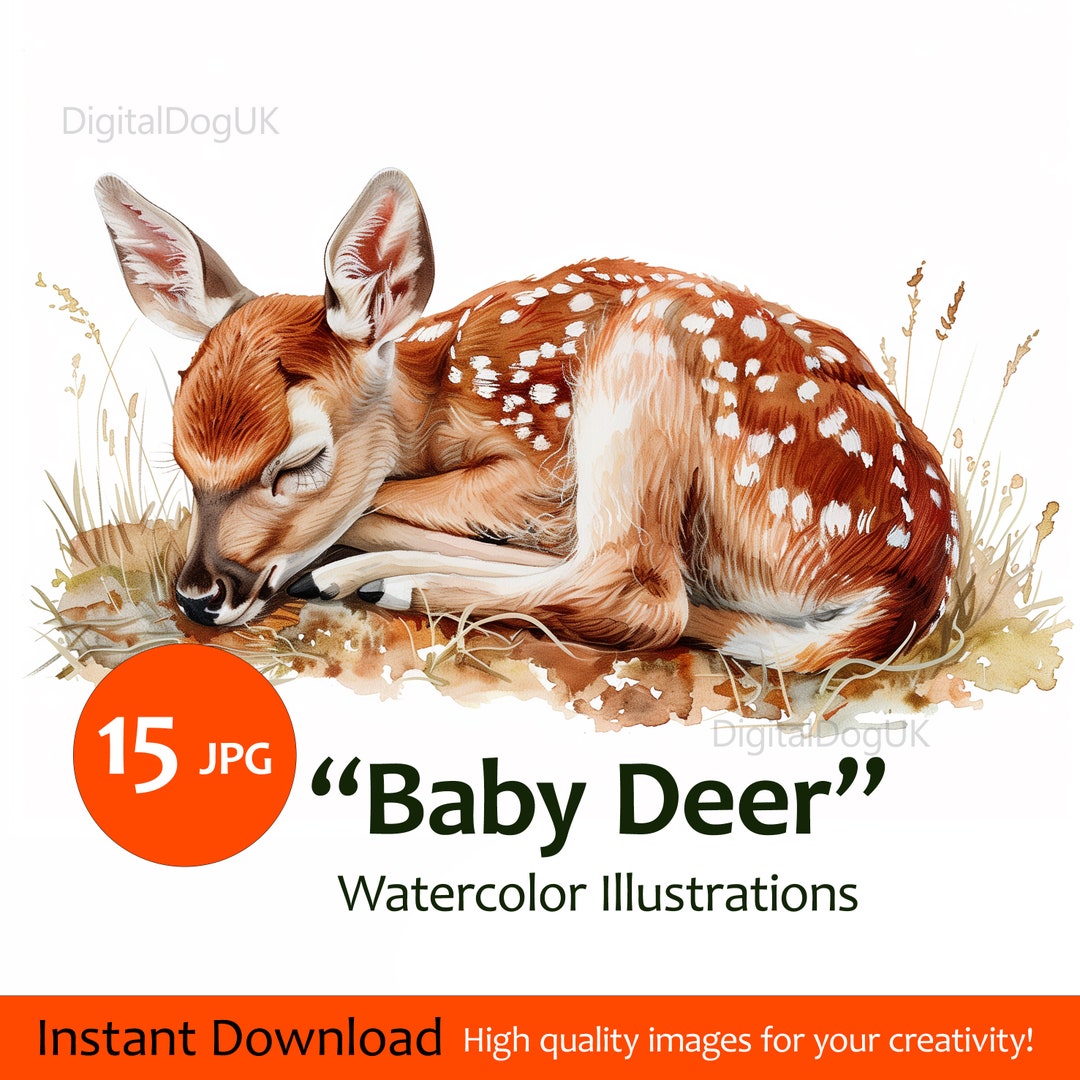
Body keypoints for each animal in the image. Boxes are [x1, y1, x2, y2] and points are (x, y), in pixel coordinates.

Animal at [94, 168, 958, 672]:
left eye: (301, 461)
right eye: (180, 459)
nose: (199, 597)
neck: (430, 400)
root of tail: (911, 581)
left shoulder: (540, 457)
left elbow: (380, 498)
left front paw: (349, 555)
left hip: (643, 356)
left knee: (642, 593)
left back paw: (386, 582)